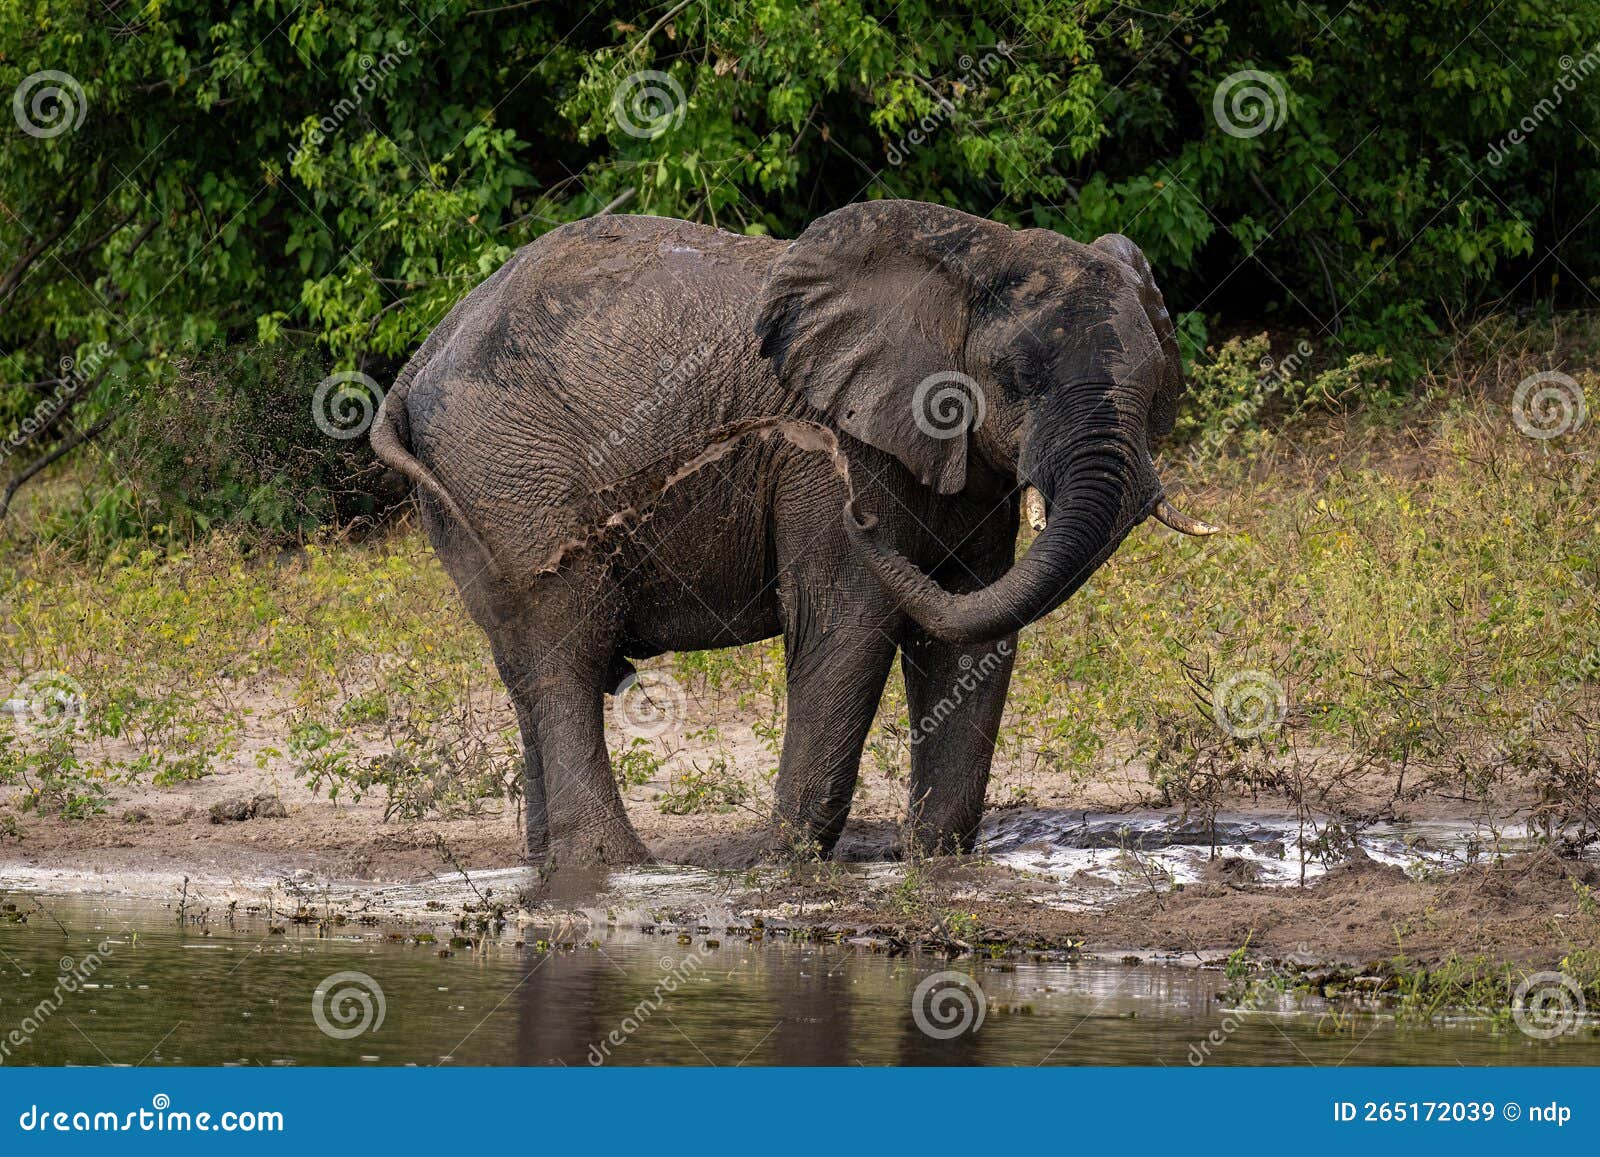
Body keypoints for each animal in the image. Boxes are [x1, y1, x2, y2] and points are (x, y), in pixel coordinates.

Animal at [371, 199, 1215, 868]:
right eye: (1019, 380)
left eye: (1156, 387)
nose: (857, 514)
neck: (972, 253)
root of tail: (420, 357)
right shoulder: (834, 445)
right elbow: (851, 623)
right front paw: (786, 865)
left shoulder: (966, 461)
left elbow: (970, 631)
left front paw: (932, 861)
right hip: (511, 473)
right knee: (565, 645)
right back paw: (616, 868)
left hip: (475, 489)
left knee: (525, 666)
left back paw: (552, 866)